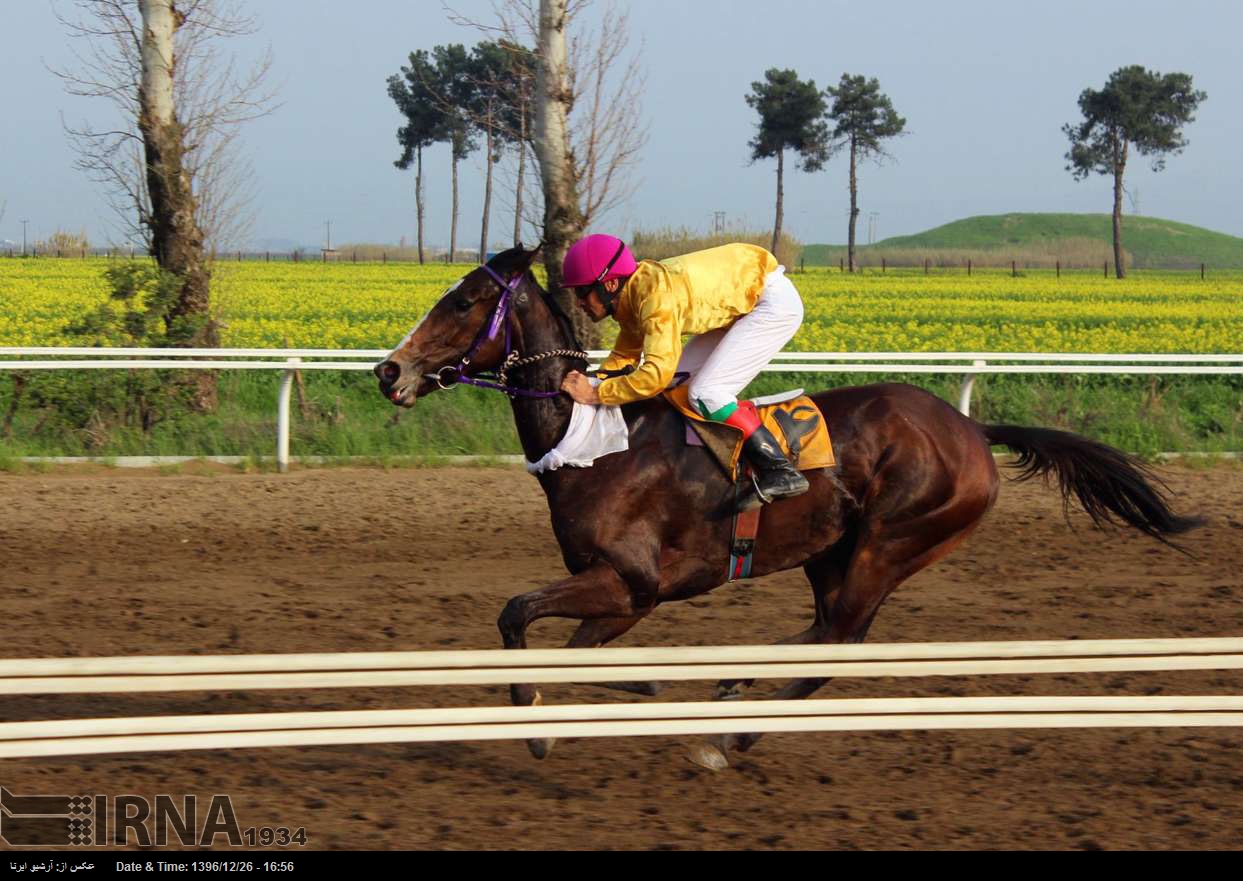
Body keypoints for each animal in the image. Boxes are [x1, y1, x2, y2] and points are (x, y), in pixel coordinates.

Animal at [373, 245, 1202, 766]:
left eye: (465, 301)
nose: (388, 371)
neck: (593, 445)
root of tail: (970, 428)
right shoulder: (623, 599)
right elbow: (574, 648)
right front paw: (624, 690)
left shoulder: (630, 583)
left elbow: (514, 613)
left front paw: (538, 719)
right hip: (831, 551)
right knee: (826, 629)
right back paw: (733, 687)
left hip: (890, 543)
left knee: (840, 640)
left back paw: (730, 736)